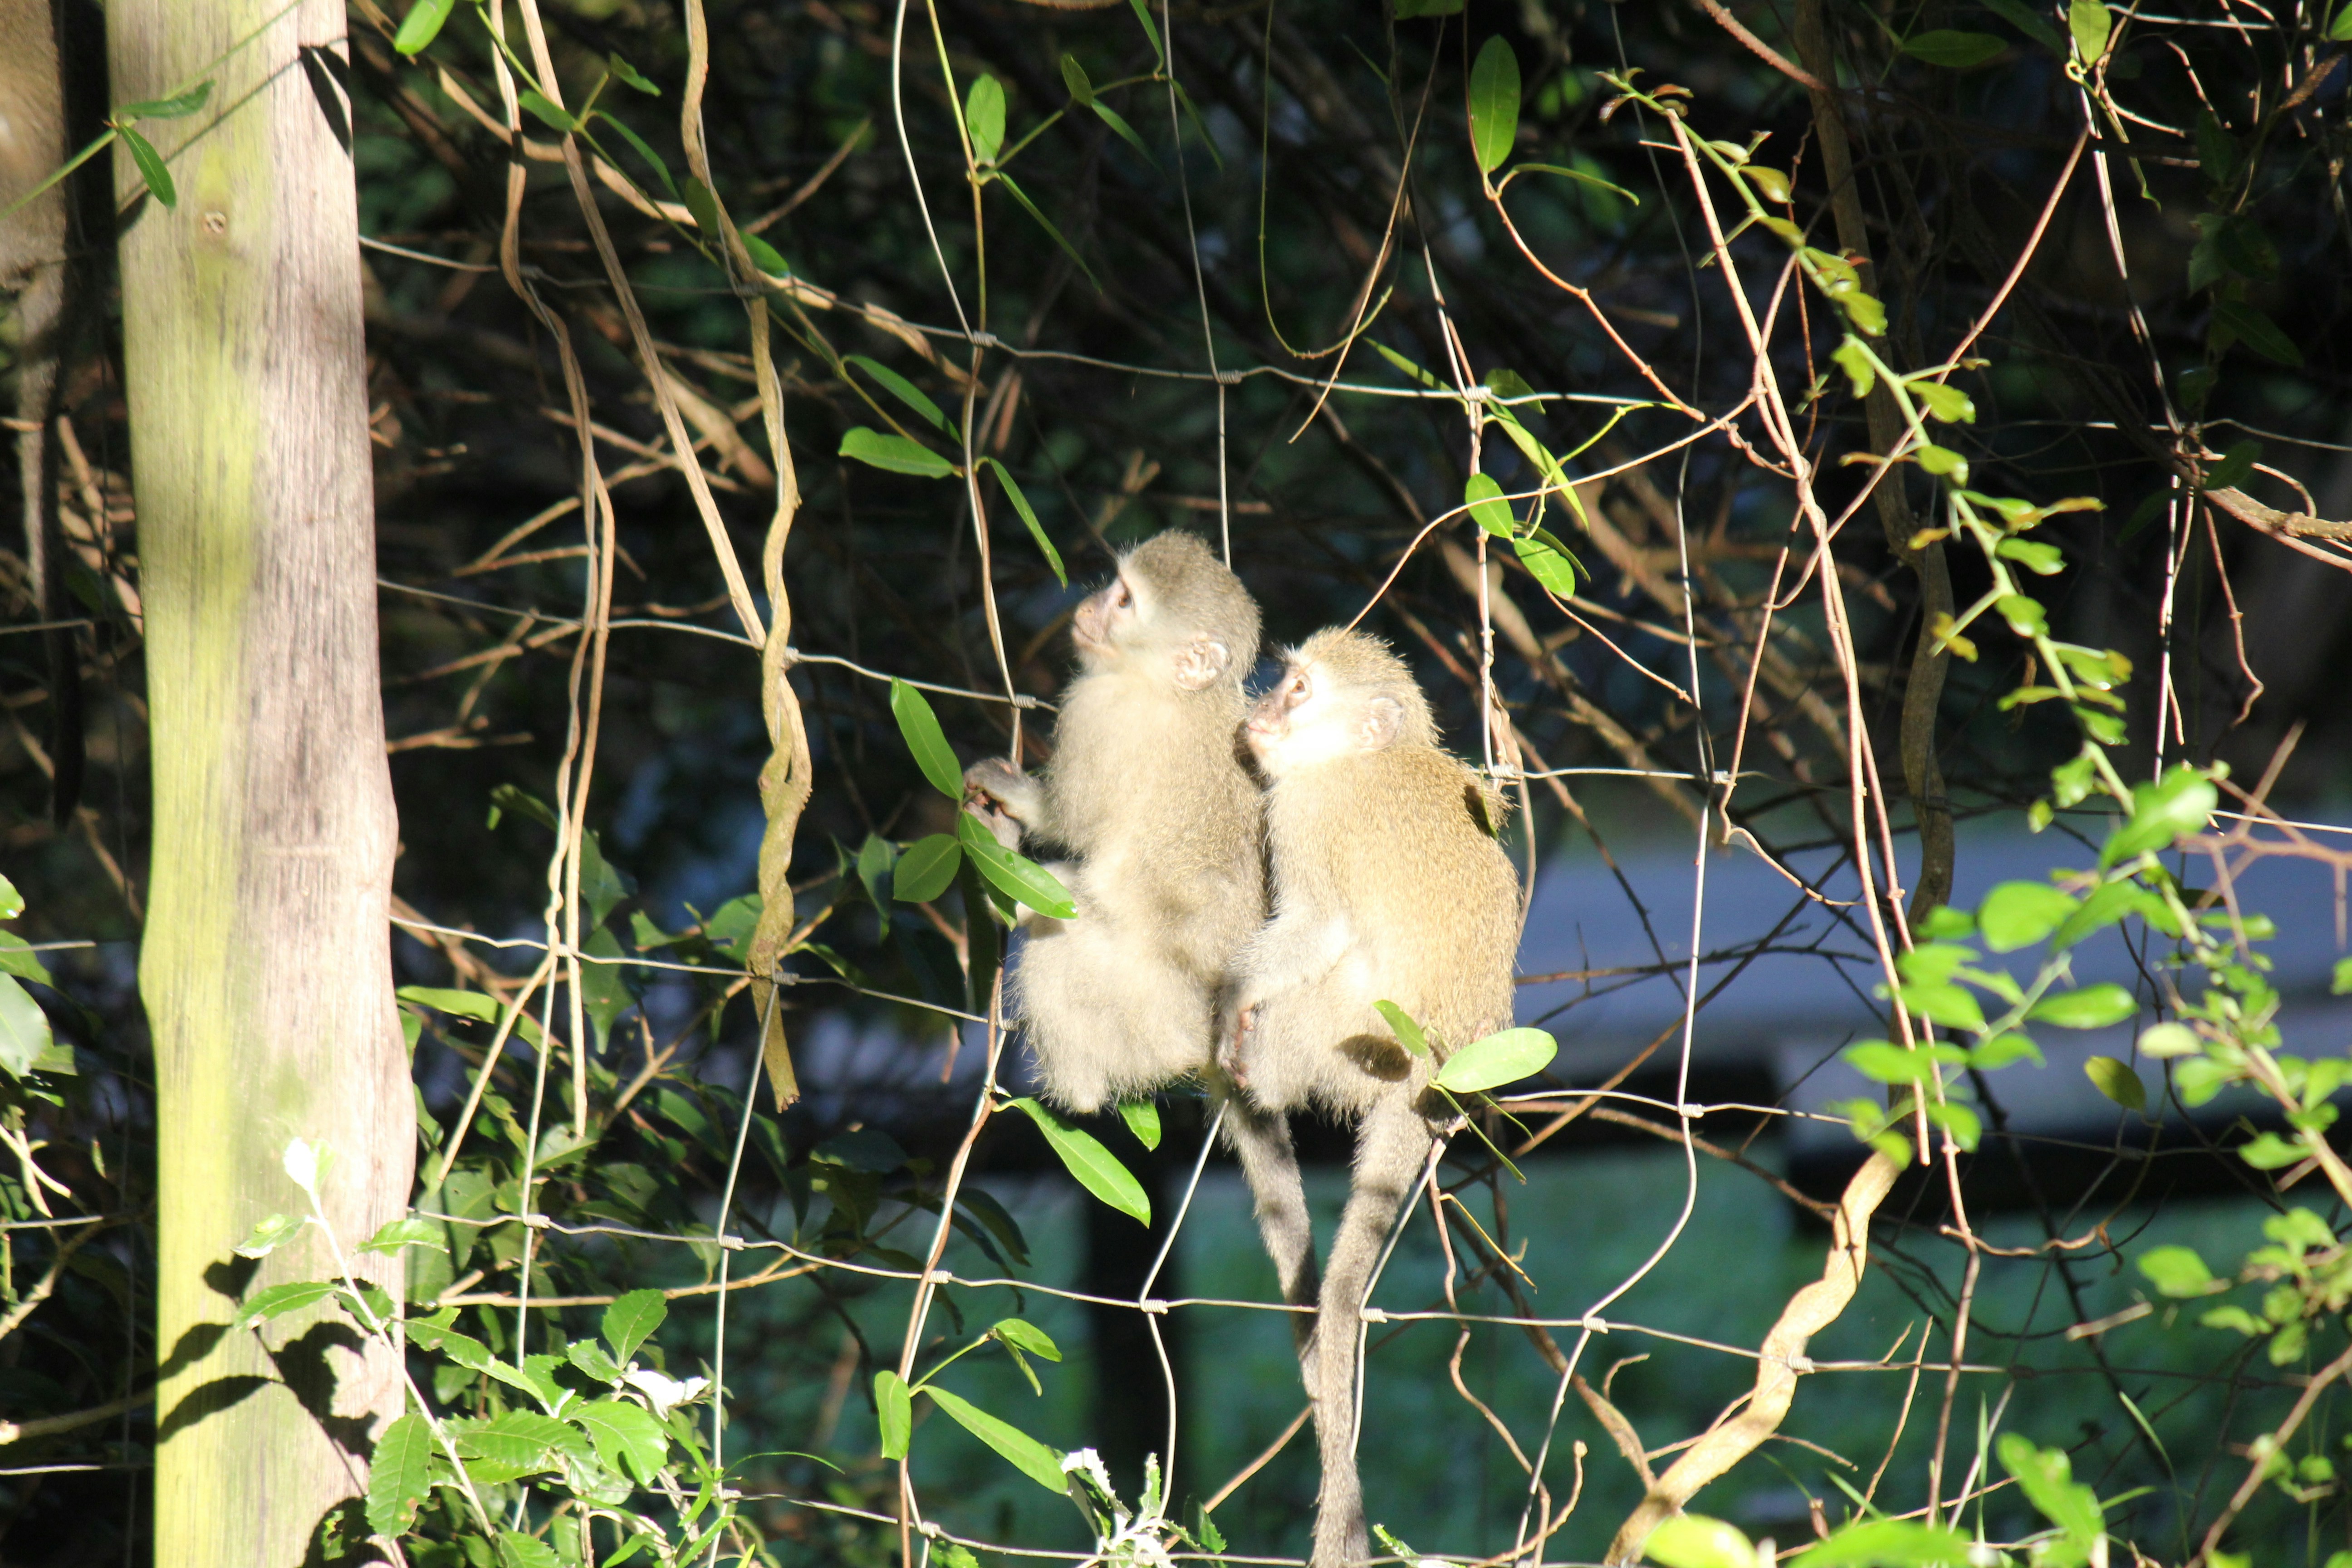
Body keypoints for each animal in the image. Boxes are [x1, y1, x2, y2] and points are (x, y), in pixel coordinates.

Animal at [960, 528, 1324, 1409]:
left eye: (1125, 600)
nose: (1088, 607)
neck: (1179, 692)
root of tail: (1212, 1029)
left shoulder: (1098, 715)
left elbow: (1067, 819)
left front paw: (1015, 799)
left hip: (1145, 1011)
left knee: (1058, 929)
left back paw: (1074, 1089)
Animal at [1225, 627, 1522, 1568]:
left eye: (1298, 690)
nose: (1257, 713)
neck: (1365, 757)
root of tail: (1437, 1078)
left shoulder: (1308, 815)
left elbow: (1314, 926)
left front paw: (1228, 996)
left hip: (1350, 1037)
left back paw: (1243, 1071)